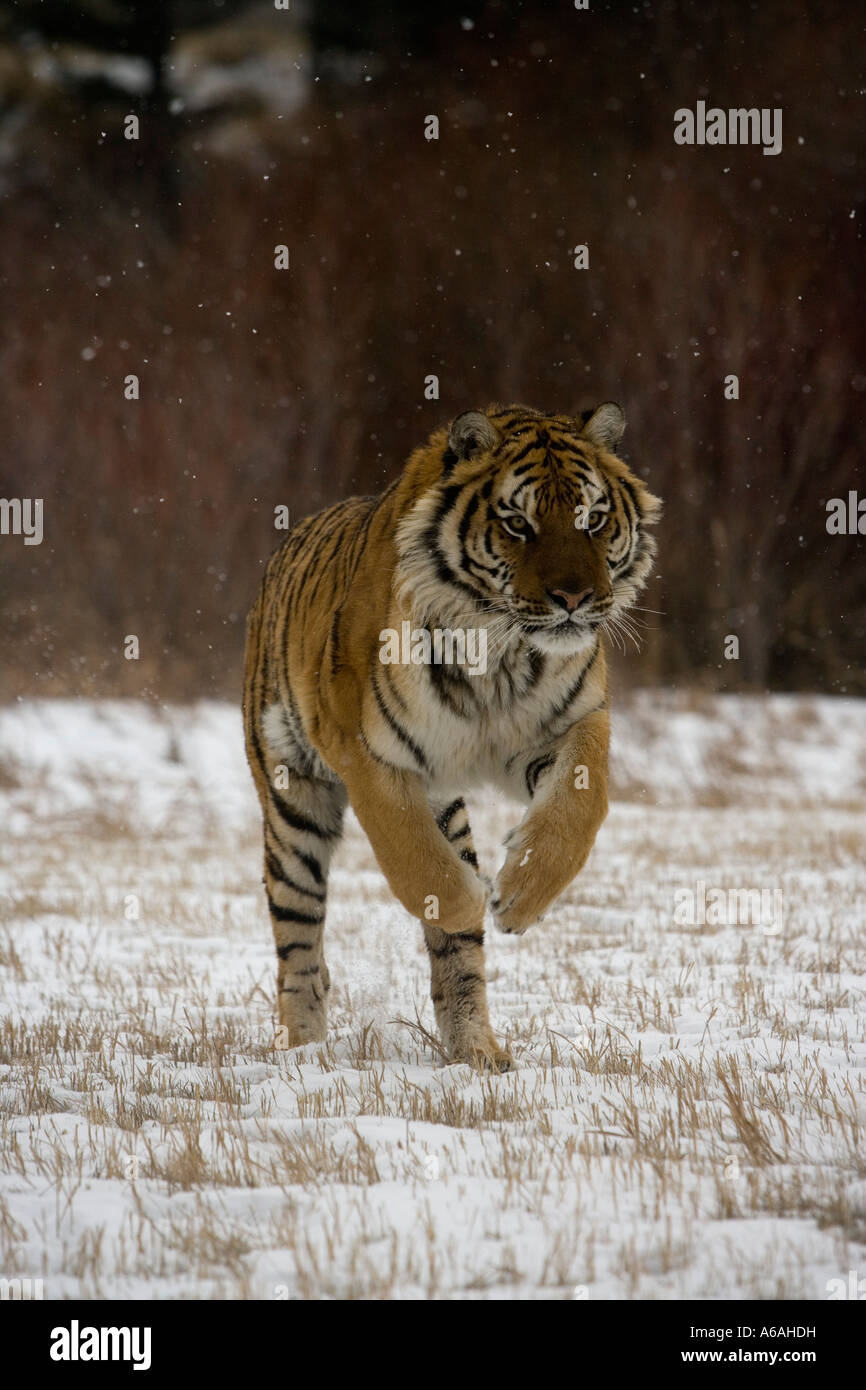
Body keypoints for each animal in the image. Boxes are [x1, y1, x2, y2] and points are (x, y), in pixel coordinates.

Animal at [243, 402, 661, 1070]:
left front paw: (517, 897)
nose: (575, 598)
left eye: (592, 520)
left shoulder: (574, 724)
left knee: (454, 965)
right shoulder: (365, 752)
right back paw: (302, 1051)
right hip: (293, 804)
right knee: (300, 947)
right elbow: (412, 857)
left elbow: (579, 808)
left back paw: (478, 1051)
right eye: (518, 523)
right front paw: (469, 902)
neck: (500, 647)